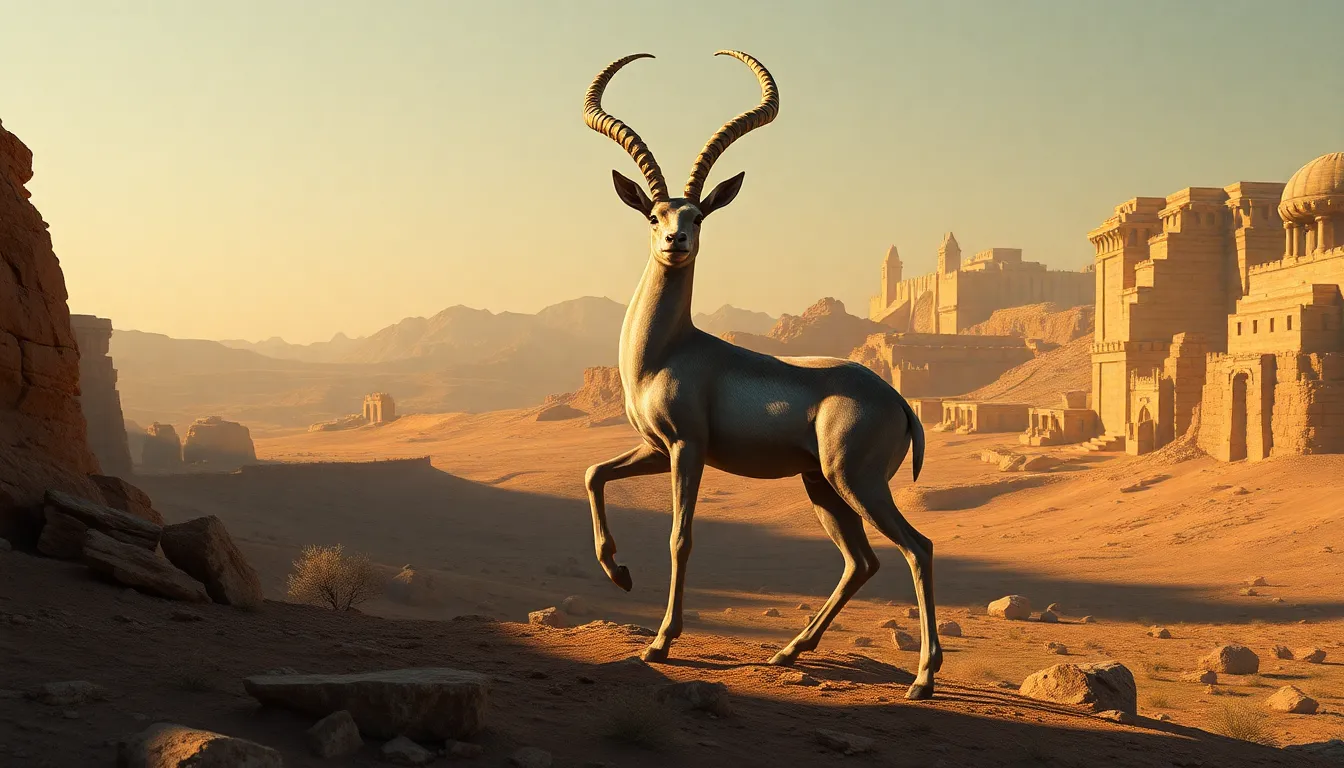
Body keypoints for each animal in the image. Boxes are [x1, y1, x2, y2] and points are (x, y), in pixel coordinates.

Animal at [581, 51, 941, 699]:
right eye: (654, 213)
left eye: (699, 214)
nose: (676, 240)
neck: (668, 350)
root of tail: (899, 400)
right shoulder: (656, 447)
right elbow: (594, 472)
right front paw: (619, 574)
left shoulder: (688, 448)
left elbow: (680, 537)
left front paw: (660, 643)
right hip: (821, 485)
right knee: (862, 560)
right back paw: (789, 652)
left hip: (857, 481)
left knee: (916, 547)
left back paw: (923, 679)